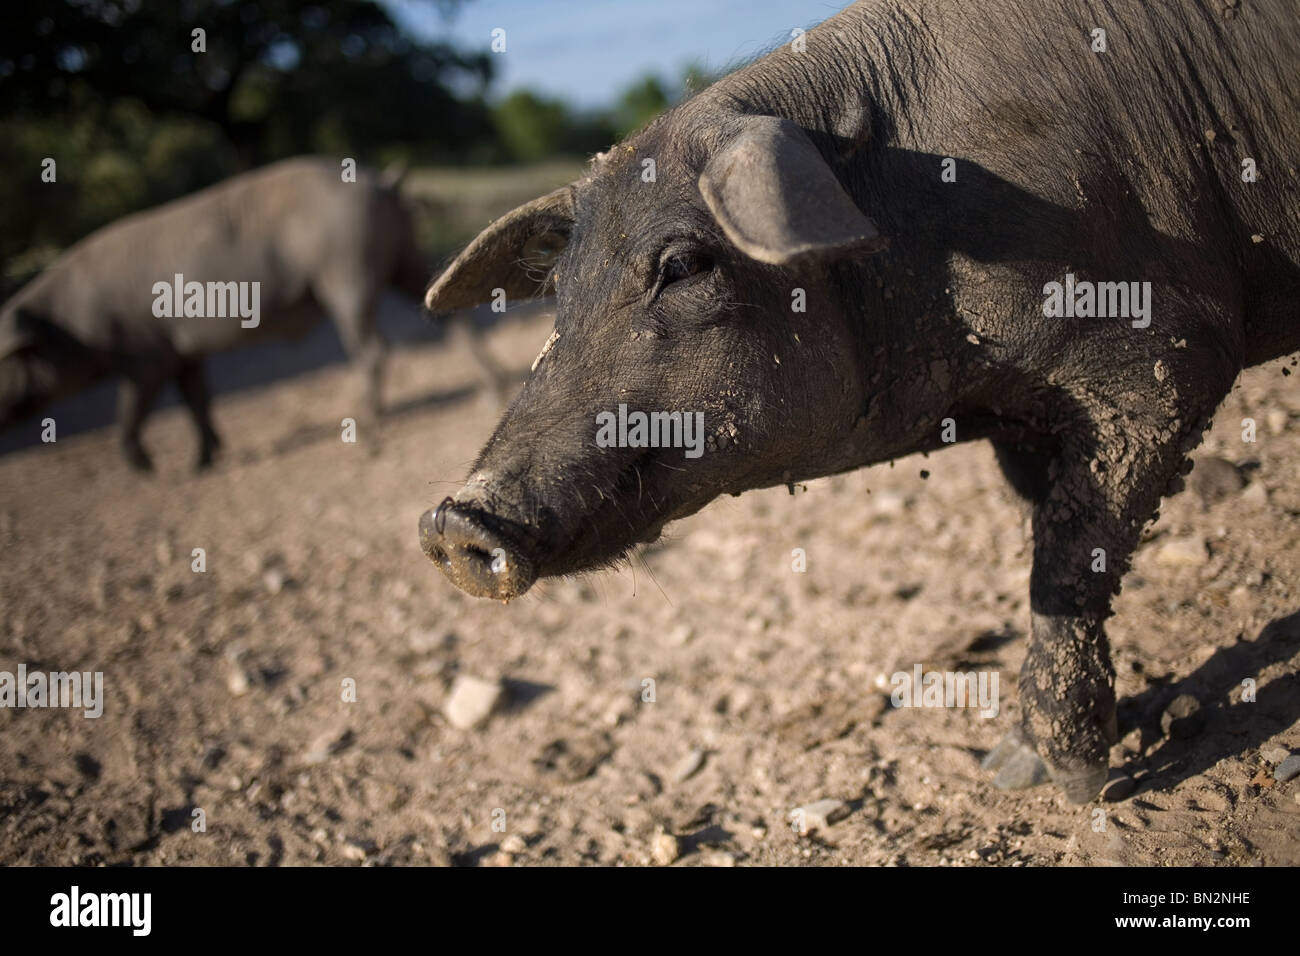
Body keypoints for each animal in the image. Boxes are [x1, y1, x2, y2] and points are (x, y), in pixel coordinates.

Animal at [0, 157, 503, 470]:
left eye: (7, 361)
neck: (71, 327)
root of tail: (384, 182)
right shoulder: (182, 352)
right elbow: (197, 397)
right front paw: (203, 461)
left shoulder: (144, 354)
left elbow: (133, 406)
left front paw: (145, 468)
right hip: (407, 260)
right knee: (451, 315)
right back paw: (489, 392)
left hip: (345, 272)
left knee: (374, 349)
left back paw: (365, 431)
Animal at [419, 0, 1300, 803]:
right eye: (560, 292)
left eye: (681, 265)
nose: (455, 521)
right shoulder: (1027, 418)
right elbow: (1045, 531)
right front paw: (1011, 767)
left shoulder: (1166, 356)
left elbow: (1067, 562)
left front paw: (1052, 781)